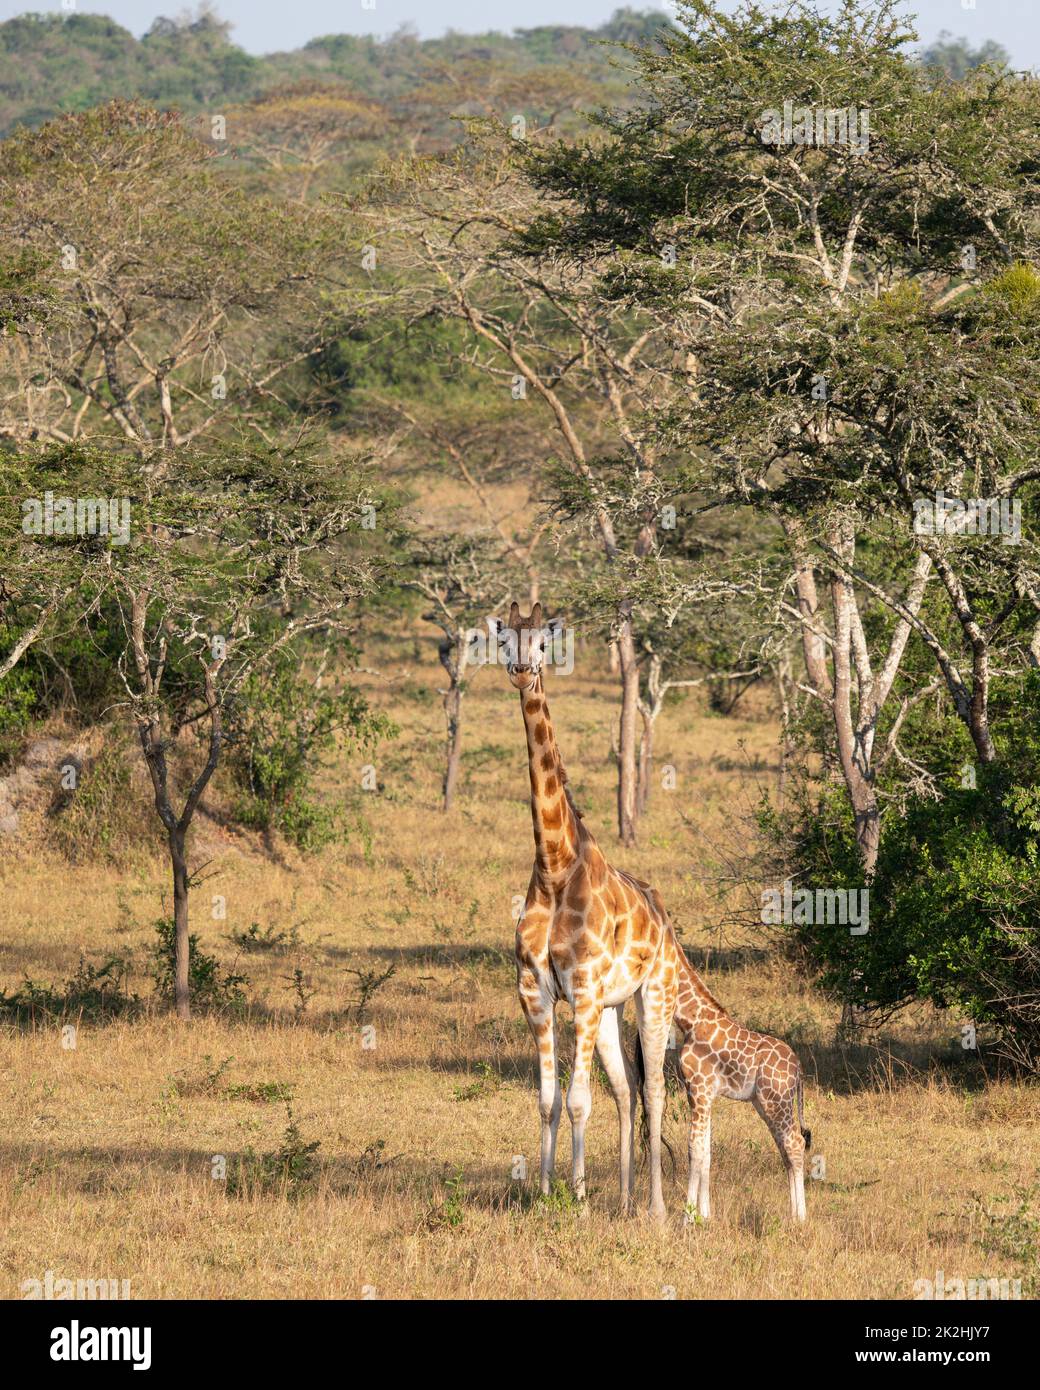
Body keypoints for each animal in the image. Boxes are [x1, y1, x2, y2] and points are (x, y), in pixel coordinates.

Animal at [494, 601, 683, 1219]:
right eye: (504, 641)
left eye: (544, 644)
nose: (522, 672)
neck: (554, 867)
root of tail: (664, 916)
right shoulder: (536, 990)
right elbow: (548, 1100)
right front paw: (544, 1190)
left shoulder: (580, 988)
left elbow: (578, 1100)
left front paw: (574, 1198)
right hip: (608, 1010)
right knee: (627, 1090)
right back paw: (623, 1199)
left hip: (650, 998)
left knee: (654, 1090)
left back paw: (655, 1208)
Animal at [674, 962, 811, 1223]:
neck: (690, 1021)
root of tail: (799, 1067)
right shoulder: (704, 1094)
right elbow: (706, 1150)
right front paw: (705, 1216)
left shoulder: (698, 1088)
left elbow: (694, 1148)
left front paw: (688, 1219)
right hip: (767, 1103)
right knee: (785, 1148)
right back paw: (791, 1215)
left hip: (777, 1100)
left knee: (796, 1143)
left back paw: (801, 1217)